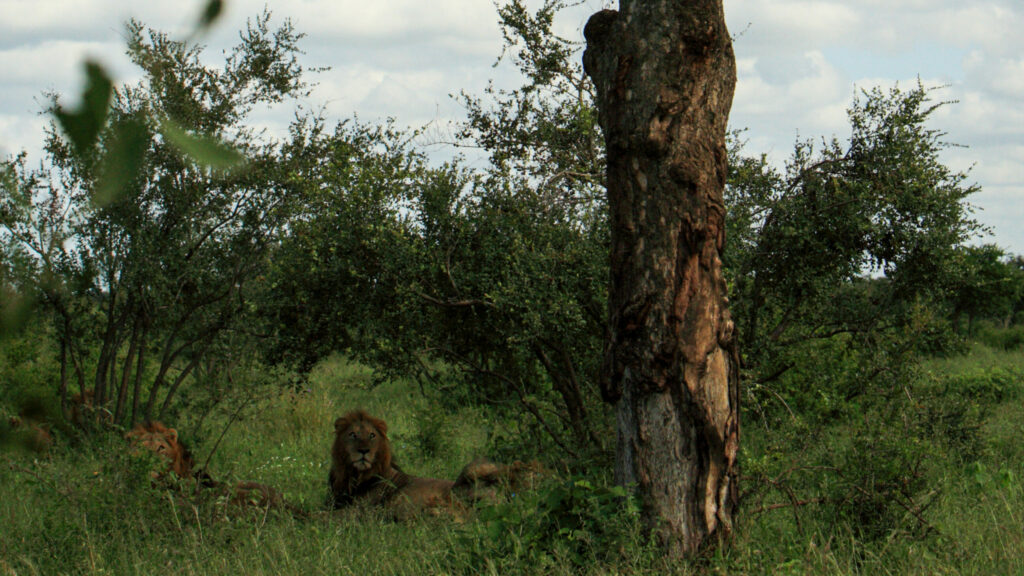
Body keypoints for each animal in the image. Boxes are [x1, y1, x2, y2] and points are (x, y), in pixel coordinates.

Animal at [327, 410, 543, 519]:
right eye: (353, 435)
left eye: (372, 435)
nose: (364, 451)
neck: (352, 475)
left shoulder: (359, 511)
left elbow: (323, 516)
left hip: (473, 469)